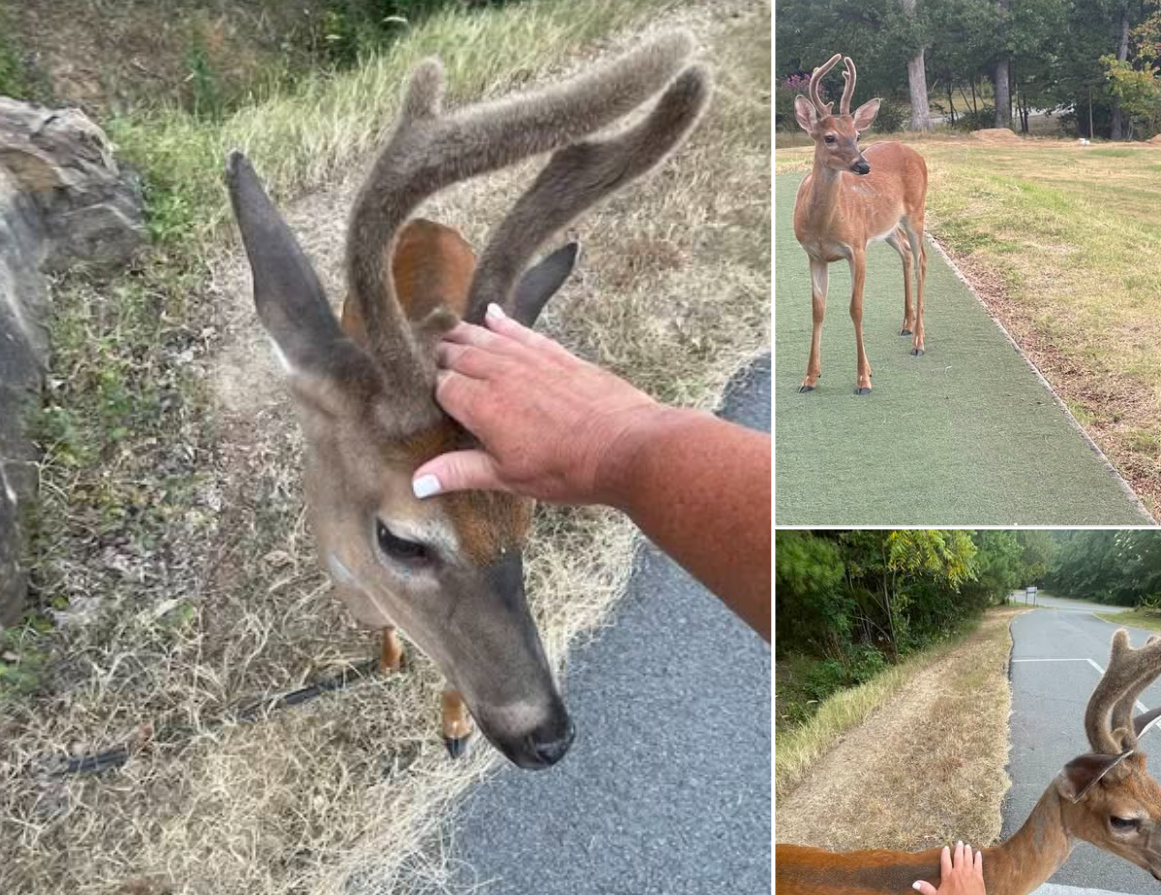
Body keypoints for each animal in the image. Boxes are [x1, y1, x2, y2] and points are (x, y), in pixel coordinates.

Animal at [224, 32, 710, 770]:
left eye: (526, 511)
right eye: (401, 540)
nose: (548, 736)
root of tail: (424, 224)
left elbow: (449, 676)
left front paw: (452, 725)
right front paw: (388, 659)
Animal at [792, 54, 929, 396]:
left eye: (857, 137)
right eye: (829, 137)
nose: (863, 165)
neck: (822, 226)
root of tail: (916, 153)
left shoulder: (857, 248)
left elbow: (856, 308)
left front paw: (864, 378)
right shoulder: (813, 255)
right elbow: (817, 310)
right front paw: (809, 377)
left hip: (916, 213)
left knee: (921, 260)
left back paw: (919, 340)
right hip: (886, 226)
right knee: (906, 253)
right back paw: (906, 324)